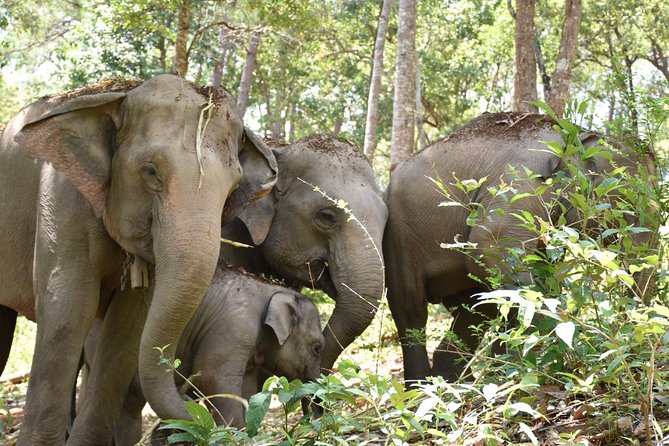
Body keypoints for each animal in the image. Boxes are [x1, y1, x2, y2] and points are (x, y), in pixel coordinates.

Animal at [0, 74, 276, 445]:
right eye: (151, 172)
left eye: (233, 187)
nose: (199, 413)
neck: (118, 97)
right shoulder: (61, 197)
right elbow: (69, 308)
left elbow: (129, 324)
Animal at [82, 267, 324, 445]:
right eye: (317, 348)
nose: (313, 422)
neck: (271, 290)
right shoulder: (232, 329)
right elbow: (212, 378)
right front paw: (233, 436)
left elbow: (245, 388)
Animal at [383, 111, 657, 384]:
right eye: (628, 204)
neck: (573, 132)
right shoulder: (520, 183)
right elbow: (489, 244)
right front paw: (521, 371)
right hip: (400, 236)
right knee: (411, 308)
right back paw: (420, 387)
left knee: (474, 310)